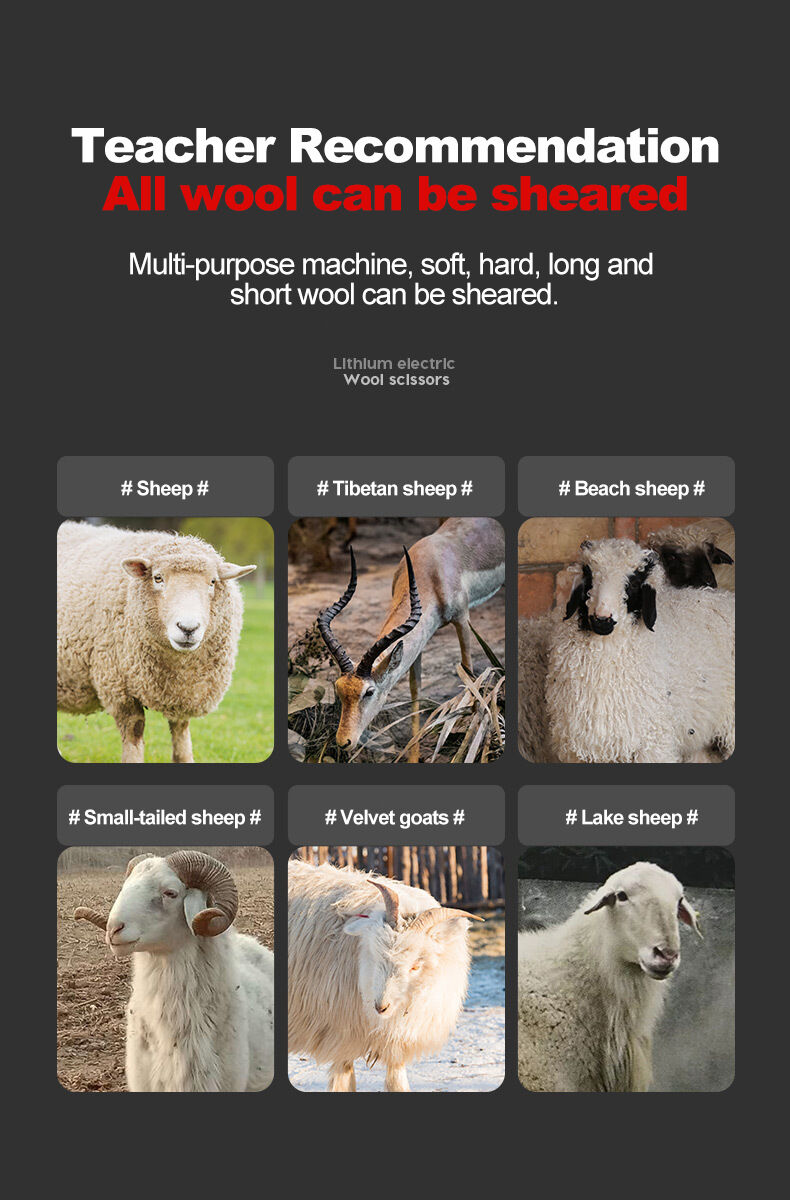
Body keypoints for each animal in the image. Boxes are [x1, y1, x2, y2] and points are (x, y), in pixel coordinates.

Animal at [57, 521, 255, 762]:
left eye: (212, 582)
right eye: (158, 578)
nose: (188, 628)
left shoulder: (184, 692)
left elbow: (181, 736)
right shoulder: (118, 687)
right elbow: (134, 734)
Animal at [288, 859, 481, 1092]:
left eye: (415, 966)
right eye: (376, 954)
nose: (381, 1007)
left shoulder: (393, 1042)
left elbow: (396, 1083)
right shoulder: (340, 1034)